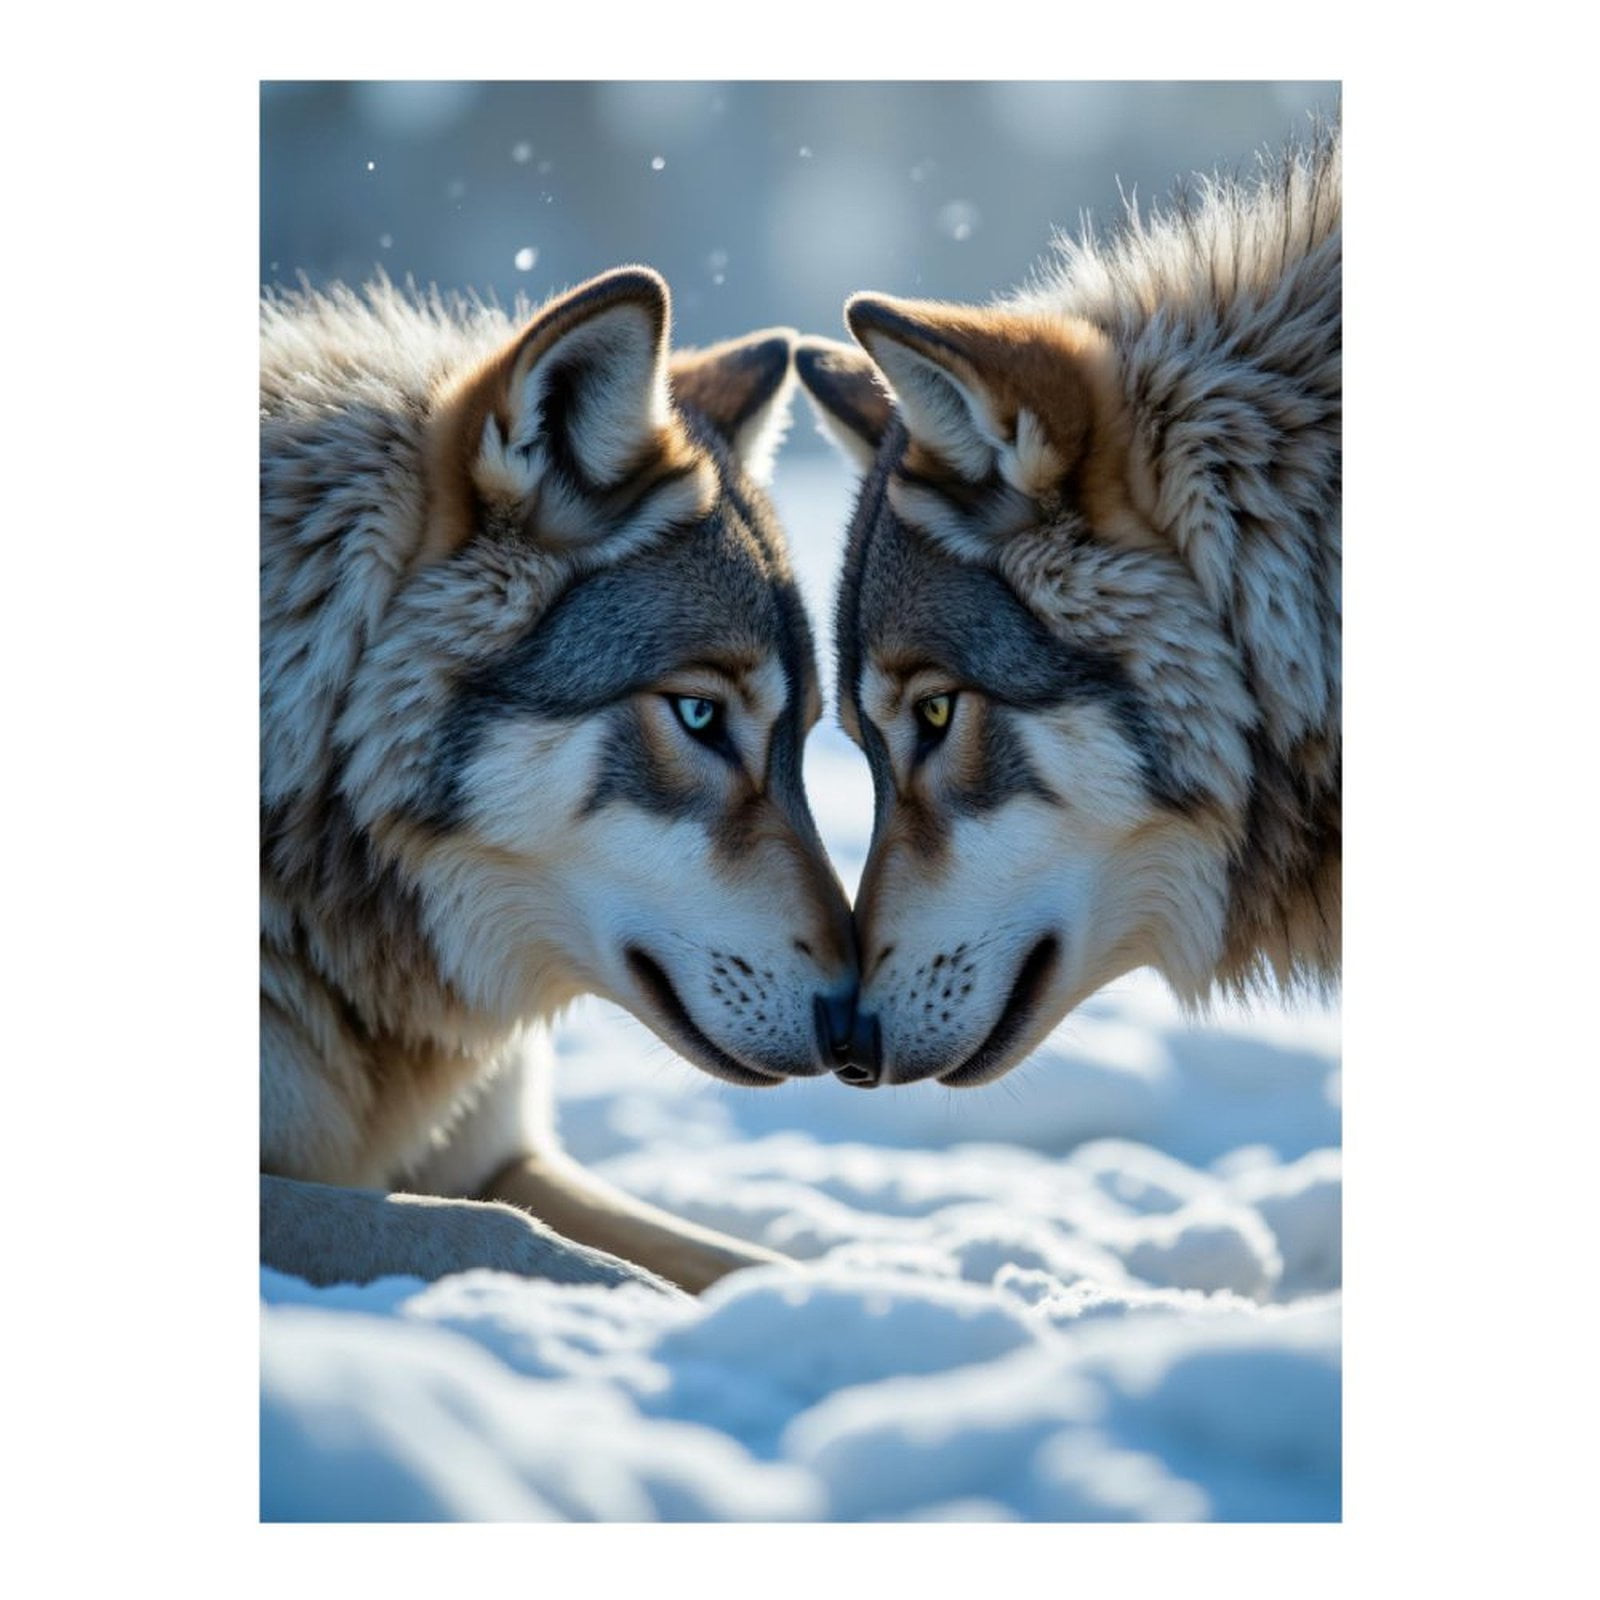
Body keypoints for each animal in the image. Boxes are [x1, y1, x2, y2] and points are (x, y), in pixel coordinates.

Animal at [261, 265, 857, 1293]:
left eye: (807, 737)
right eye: (699, 717)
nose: (858, 1024)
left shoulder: (507, 1158)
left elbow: (745, 1262)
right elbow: (501, 1236)